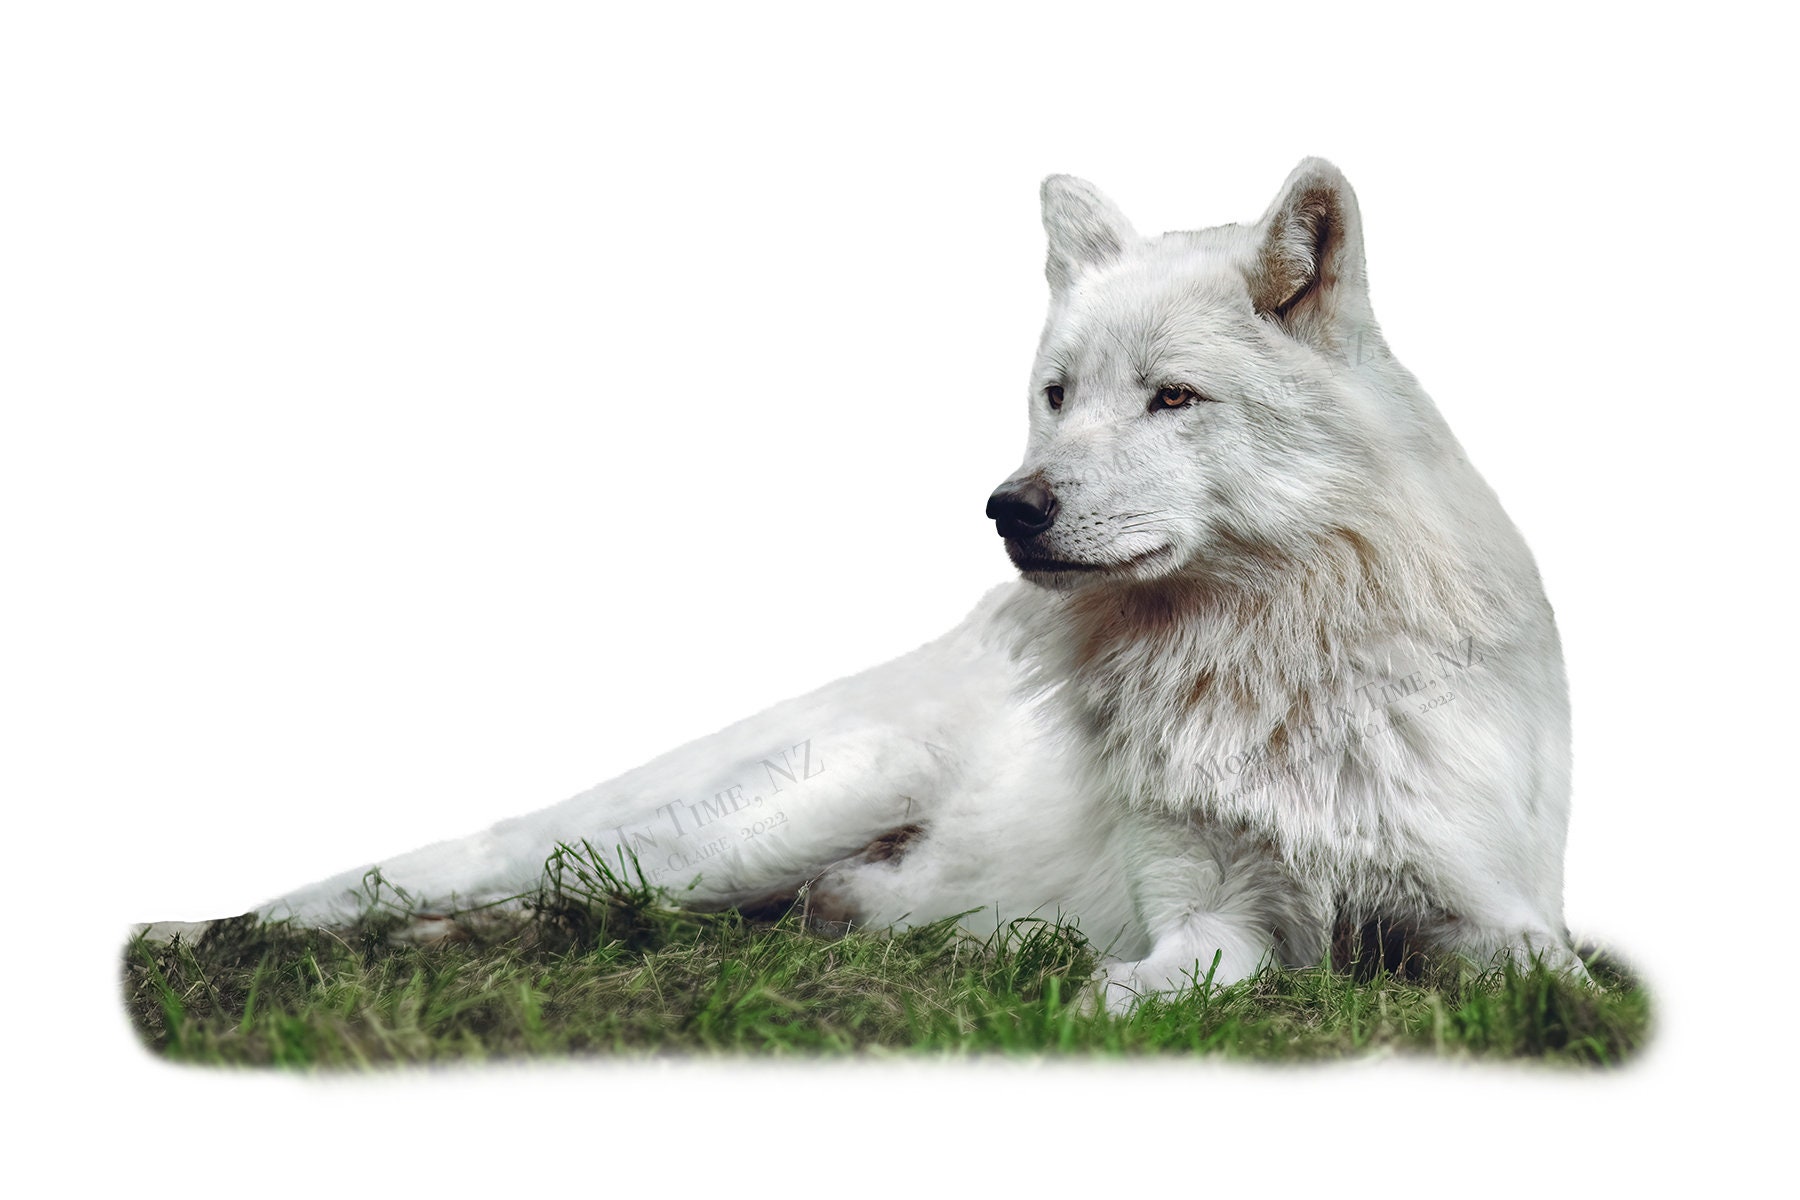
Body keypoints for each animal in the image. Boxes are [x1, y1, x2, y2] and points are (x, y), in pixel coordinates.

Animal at [142, 159, 1584, 1009]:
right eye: (1056, 395)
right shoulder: (1213, 914)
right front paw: (1095, 1004)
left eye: (1173, 398)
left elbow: (1558, 974)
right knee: (498, 879)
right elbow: (1164, 981)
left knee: (582, 906)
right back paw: (225, 940)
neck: (1264, 671)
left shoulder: (1487, 907)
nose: (1011, 509)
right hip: (754, 824)